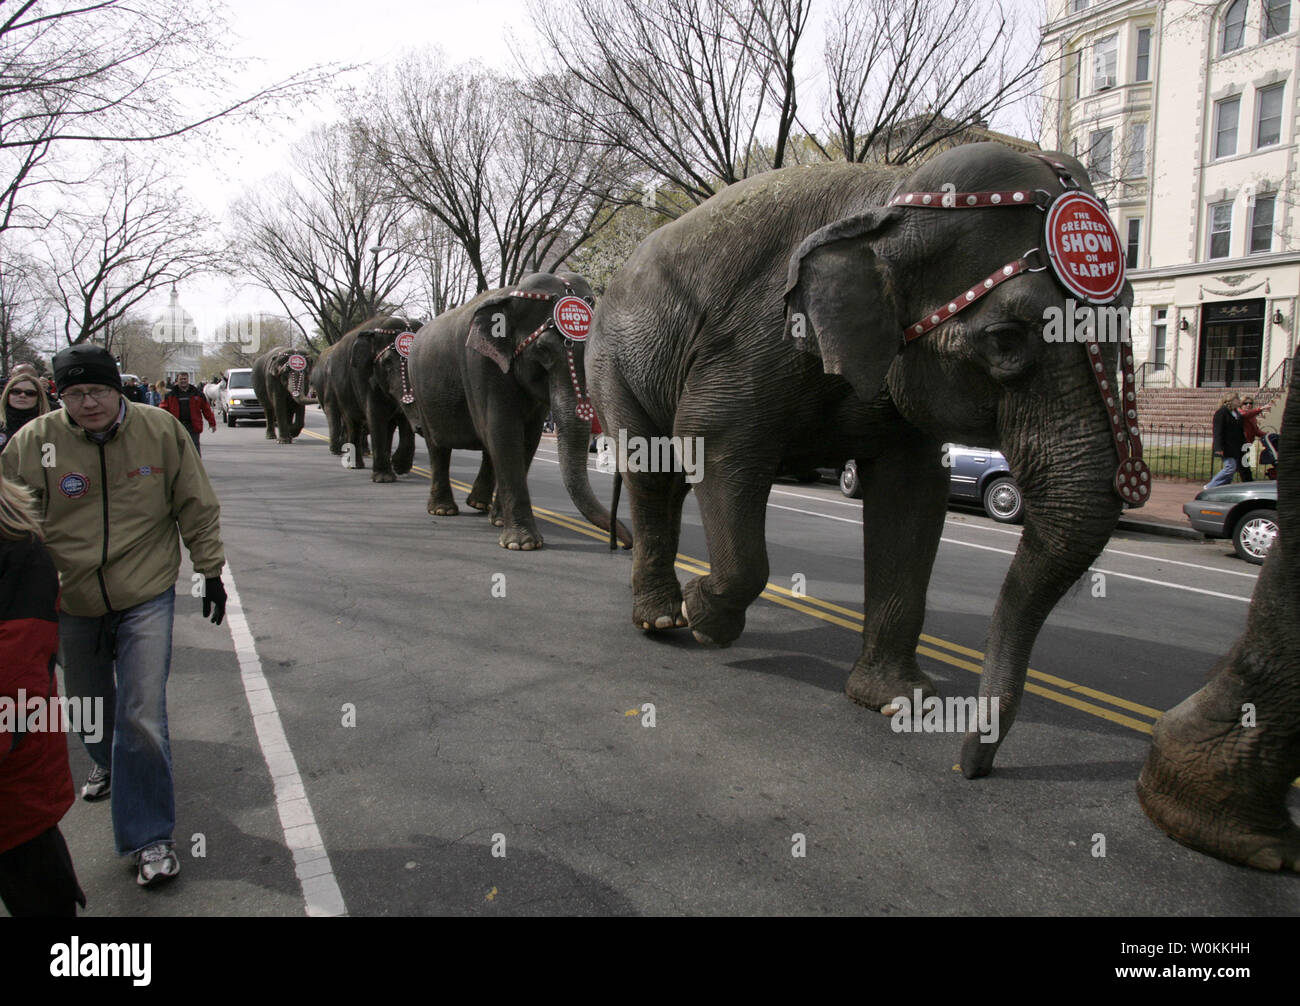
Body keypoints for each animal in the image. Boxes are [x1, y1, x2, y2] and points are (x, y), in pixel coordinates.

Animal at [373, 271, 632, 550]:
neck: (511, 294)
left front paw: (503, 526)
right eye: (544, 350)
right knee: (438, 447)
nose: (623, 543)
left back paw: (481, 507)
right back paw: (443, 510)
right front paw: (523, 544)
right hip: (421, 393)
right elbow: (504, 432)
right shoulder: (480, 363)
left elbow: (526, 439)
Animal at [587, 142, 1145, 778]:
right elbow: (712, 436)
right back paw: (662, 621)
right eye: (1006, 338)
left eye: (1126, 320)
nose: (970, 765)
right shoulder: (754, 335)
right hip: (612, 363)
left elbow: (913, 492)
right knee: (652, 469)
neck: (890, 197)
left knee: (673, 479)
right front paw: (704, 615)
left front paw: (898, 703)